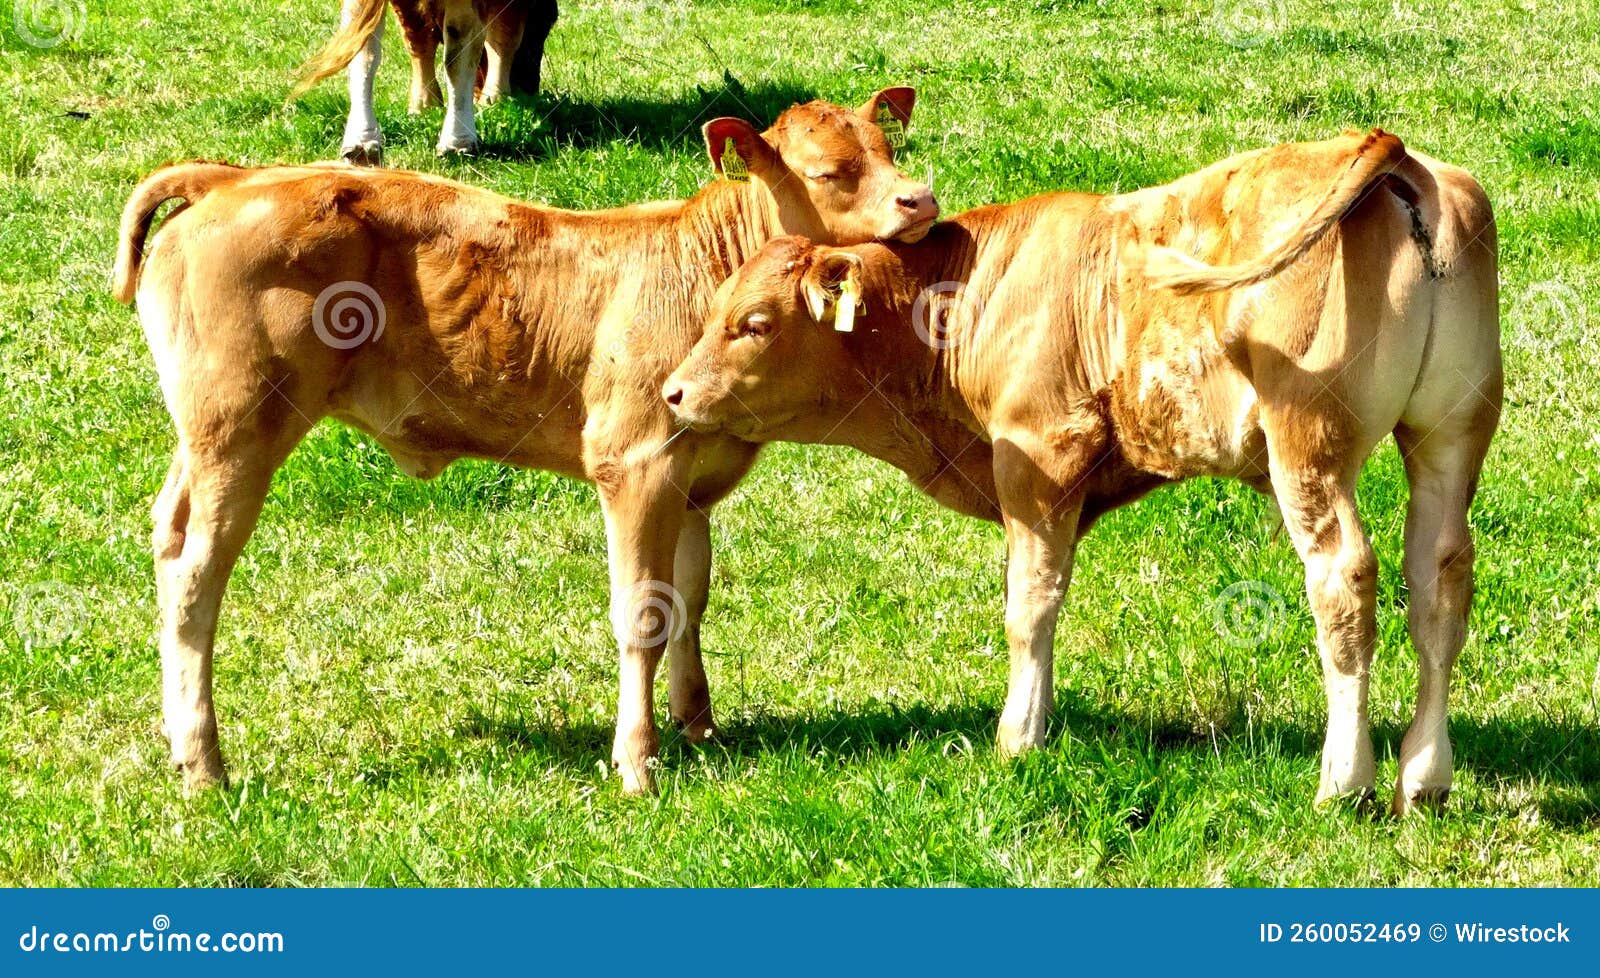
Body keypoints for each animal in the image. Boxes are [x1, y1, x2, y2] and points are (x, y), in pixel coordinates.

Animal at [111, 89, 937, 796]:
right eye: (829, 171)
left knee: (167, 539)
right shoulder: (635, 461)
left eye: (888, 148)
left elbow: (688, 601)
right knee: (195, 578)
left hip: (203, 433)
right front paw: (637, 762)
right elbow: (641, 614)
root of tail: (235, 177)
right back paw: (205, 765)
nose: (920, 198)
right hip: (239, 427)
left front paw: (699, 727)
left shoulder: (696, 476)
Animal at [663, 129, 1502, 815]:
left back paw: (1344, 781)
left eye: (755, 324)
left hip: (1309, 448)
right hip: (1450, 434)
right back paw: (1424, 777)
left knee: (1345, 581)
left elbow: (1030, 604)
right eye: (716, 308)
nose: (672, 391)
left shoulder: (1037, 458)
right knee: (1439, 582)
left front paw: (1018, 737)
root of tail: (1389, 151)